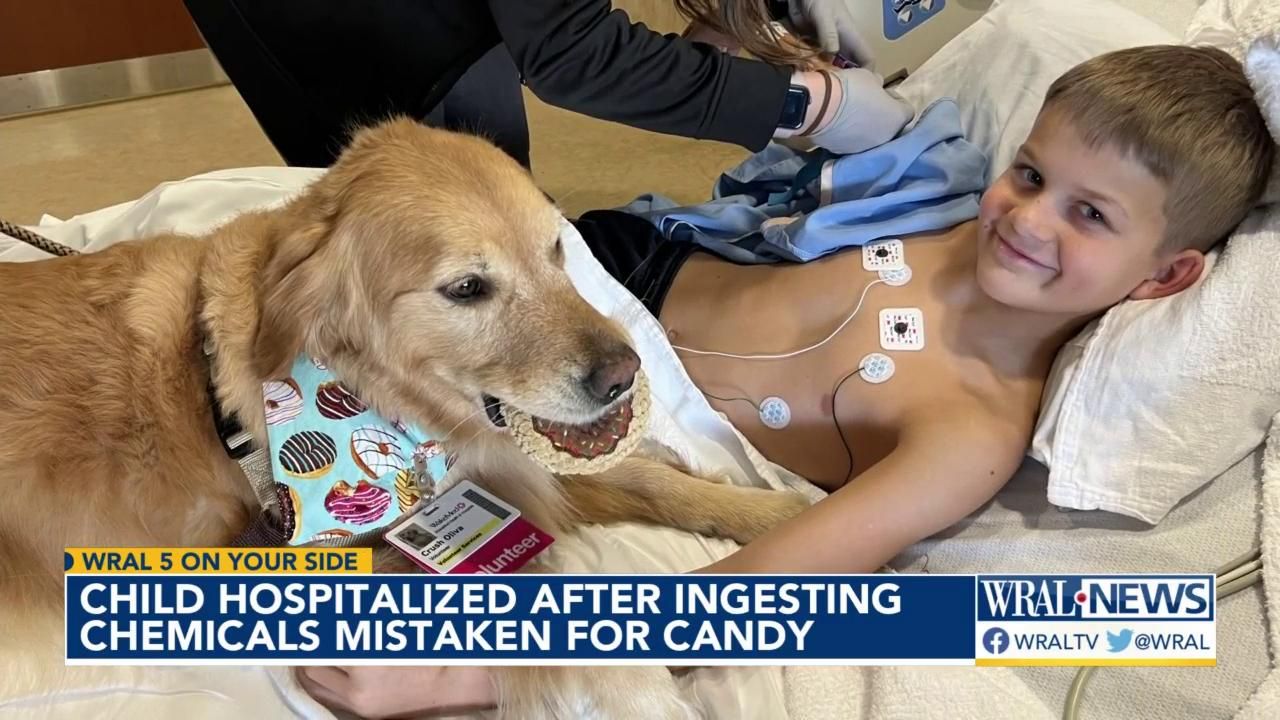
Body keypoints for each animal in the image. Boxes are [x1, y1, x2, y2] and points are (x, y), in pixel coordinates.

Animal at [0, 118, 809, 716]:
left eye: (556, 249)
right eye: (467, 288)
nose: (623, 375)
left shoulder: (491, 466)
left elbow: (649, 482)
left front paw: (774, 515)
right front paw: (641, 689)